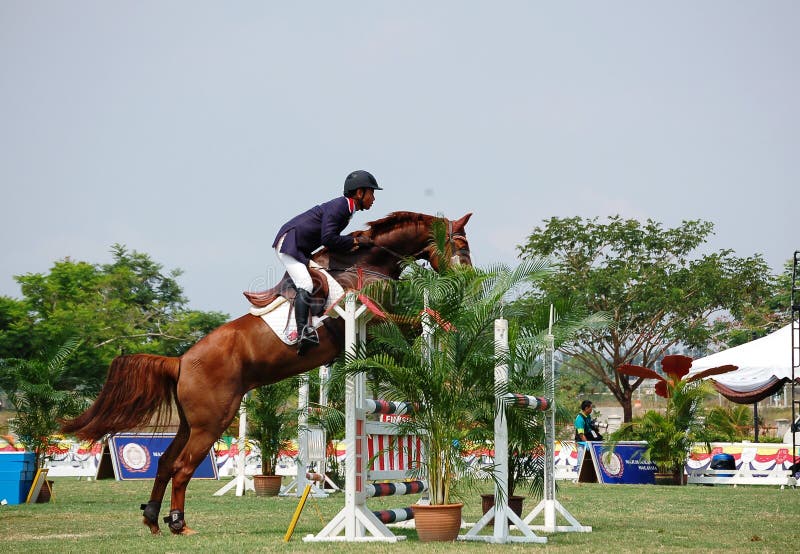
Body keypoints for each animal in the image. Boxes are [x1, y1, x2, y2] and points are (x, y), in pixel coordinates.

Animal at [61, 211, 472, 535]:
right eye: (460, 244)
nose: (468, 279)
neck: (367, 264)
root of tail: (180, 361)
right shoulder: (373, 322)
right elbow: (414, 328)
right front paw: (447, 362)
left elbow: (419, 328)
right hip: (213, 421)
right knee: (182, 468)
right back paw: (179, 524)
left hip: (190, 423)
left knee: (165, 464)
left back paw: (151, 519)